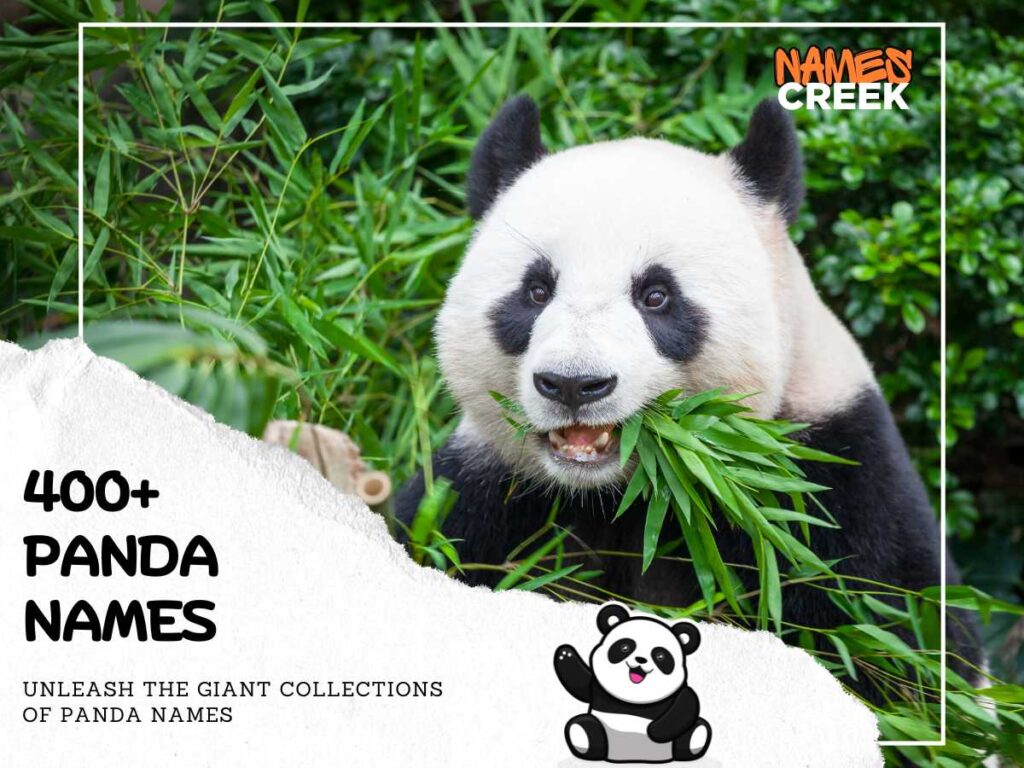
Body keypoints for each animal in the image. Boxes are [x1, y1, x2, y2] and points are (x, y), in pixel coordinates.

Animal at [395, 95, 981, 696]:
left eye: (656, 295)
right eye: (536, 291)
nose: (574, 384)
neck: (629, 494)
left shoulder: (831, 484)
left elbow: (886, 640)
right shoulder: (486, 494)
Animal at [554, 604, 711, 763]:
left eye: (660, 656)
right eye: (625, 647)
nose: (641, 659)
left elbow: (686, 705)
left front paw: (654, 730)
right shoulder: (597, 686)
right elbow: (582, 686)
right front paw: (565, 654)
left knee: (696, 727)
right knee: (584, 725)